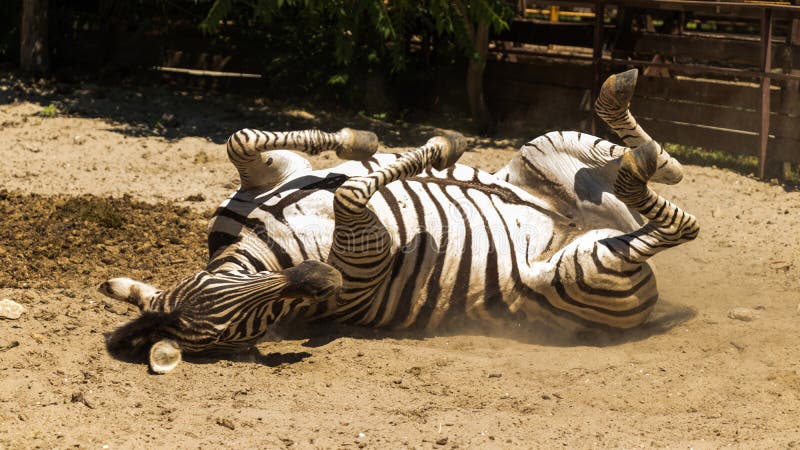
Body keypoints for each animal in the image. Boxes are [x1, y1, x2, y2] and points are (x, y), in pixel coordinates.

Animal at [100, 69, 698, 374]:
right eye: (253, 327)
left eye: (226, 284)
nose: (323, 280)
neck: (273, 250)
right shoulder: (367, 242)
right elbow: (350, 194)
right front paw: (435, 148)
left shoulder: (272, 175)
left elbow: (243, 138)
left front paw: (372, 141)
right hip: (578, 270)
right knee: (676, 227)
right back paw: (636, 175)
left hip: (542, 154)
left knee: (659, 169)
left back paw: (633, 123)